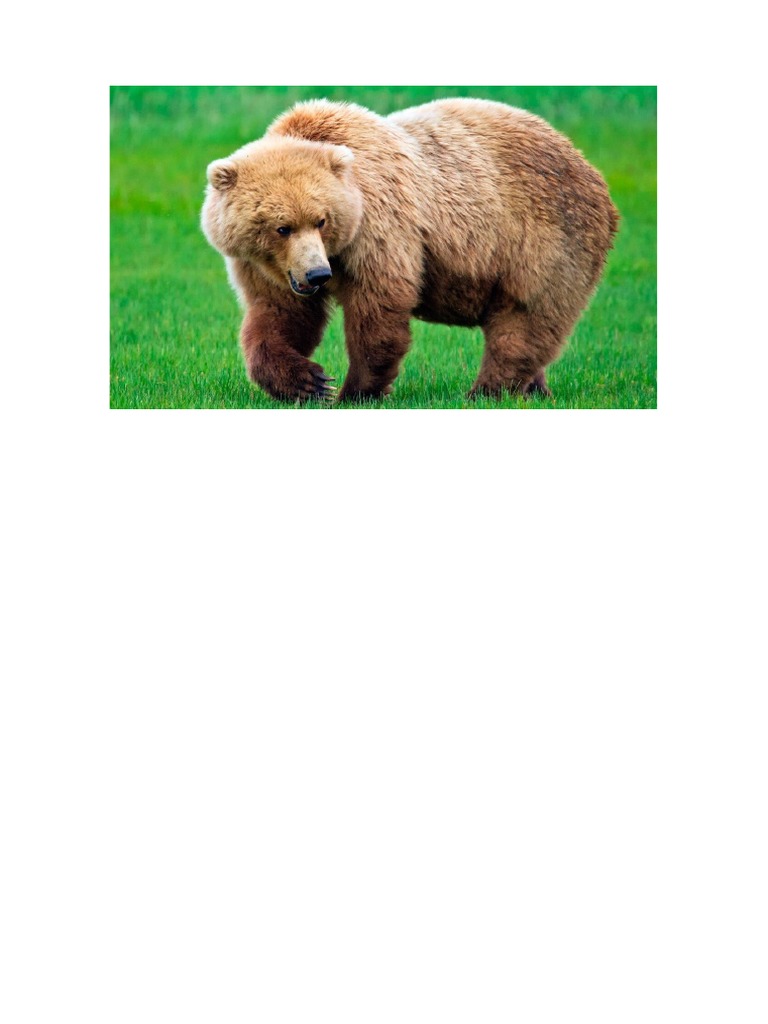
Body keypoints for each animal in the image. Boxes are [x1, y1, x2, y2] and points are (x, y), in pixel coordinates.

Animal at [201, 98, 618, 403]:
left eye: (321, 220)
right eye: (281, 227)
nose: (318, 275)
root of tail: (588, 166)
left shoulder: (378, 227)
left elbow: (378, 307)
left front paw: (354, 391)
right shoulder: (265, 265)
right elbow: (280, 316)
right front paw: (309, 381)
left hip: (543, 239)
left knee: (524, 318)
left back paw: (488, 390)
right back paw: (534, 388)